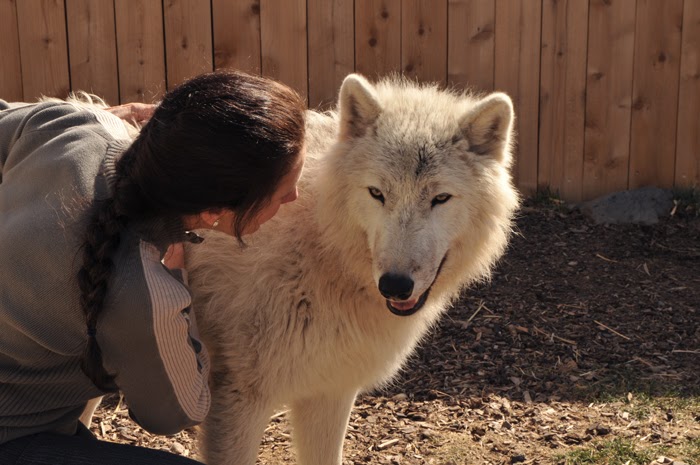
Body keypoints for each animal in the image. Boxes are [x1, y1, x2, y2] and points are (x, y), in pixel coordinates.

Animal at [186, 73, 520, 465]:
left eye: (440, 198)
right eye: (377, 193)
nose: (394, 285)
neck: (321, 245)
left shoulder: (331, 388)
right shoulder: (241, 399)